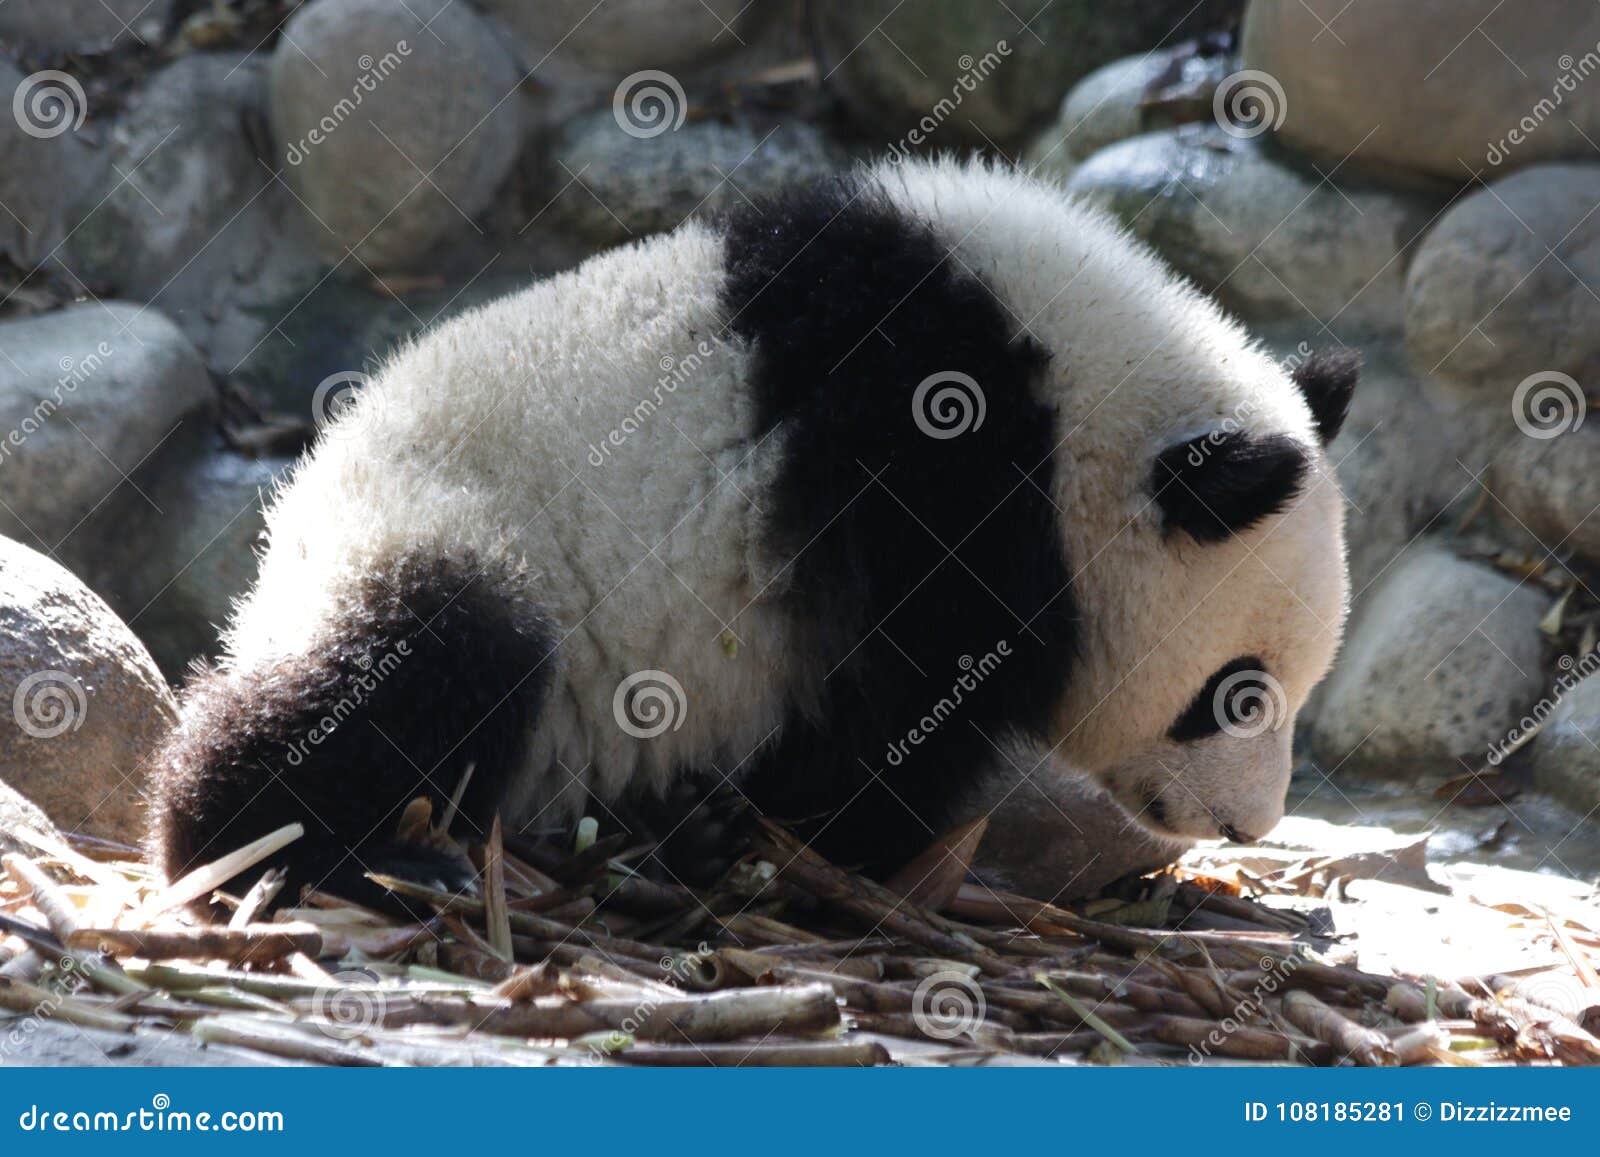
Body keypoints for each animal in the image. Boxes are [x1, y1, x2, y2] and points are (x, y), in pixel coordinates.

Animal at [149, 157, 1357, 911]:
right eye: (1235, 693)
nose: (1248, 827)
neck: (1077, 413)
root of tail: (281, 548)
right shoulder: (933, 469)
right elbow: (898, 714)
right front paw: (813, 844)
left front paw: (731, 830)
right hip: (444, 526)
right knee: (429, 656)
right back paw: (305, 847)